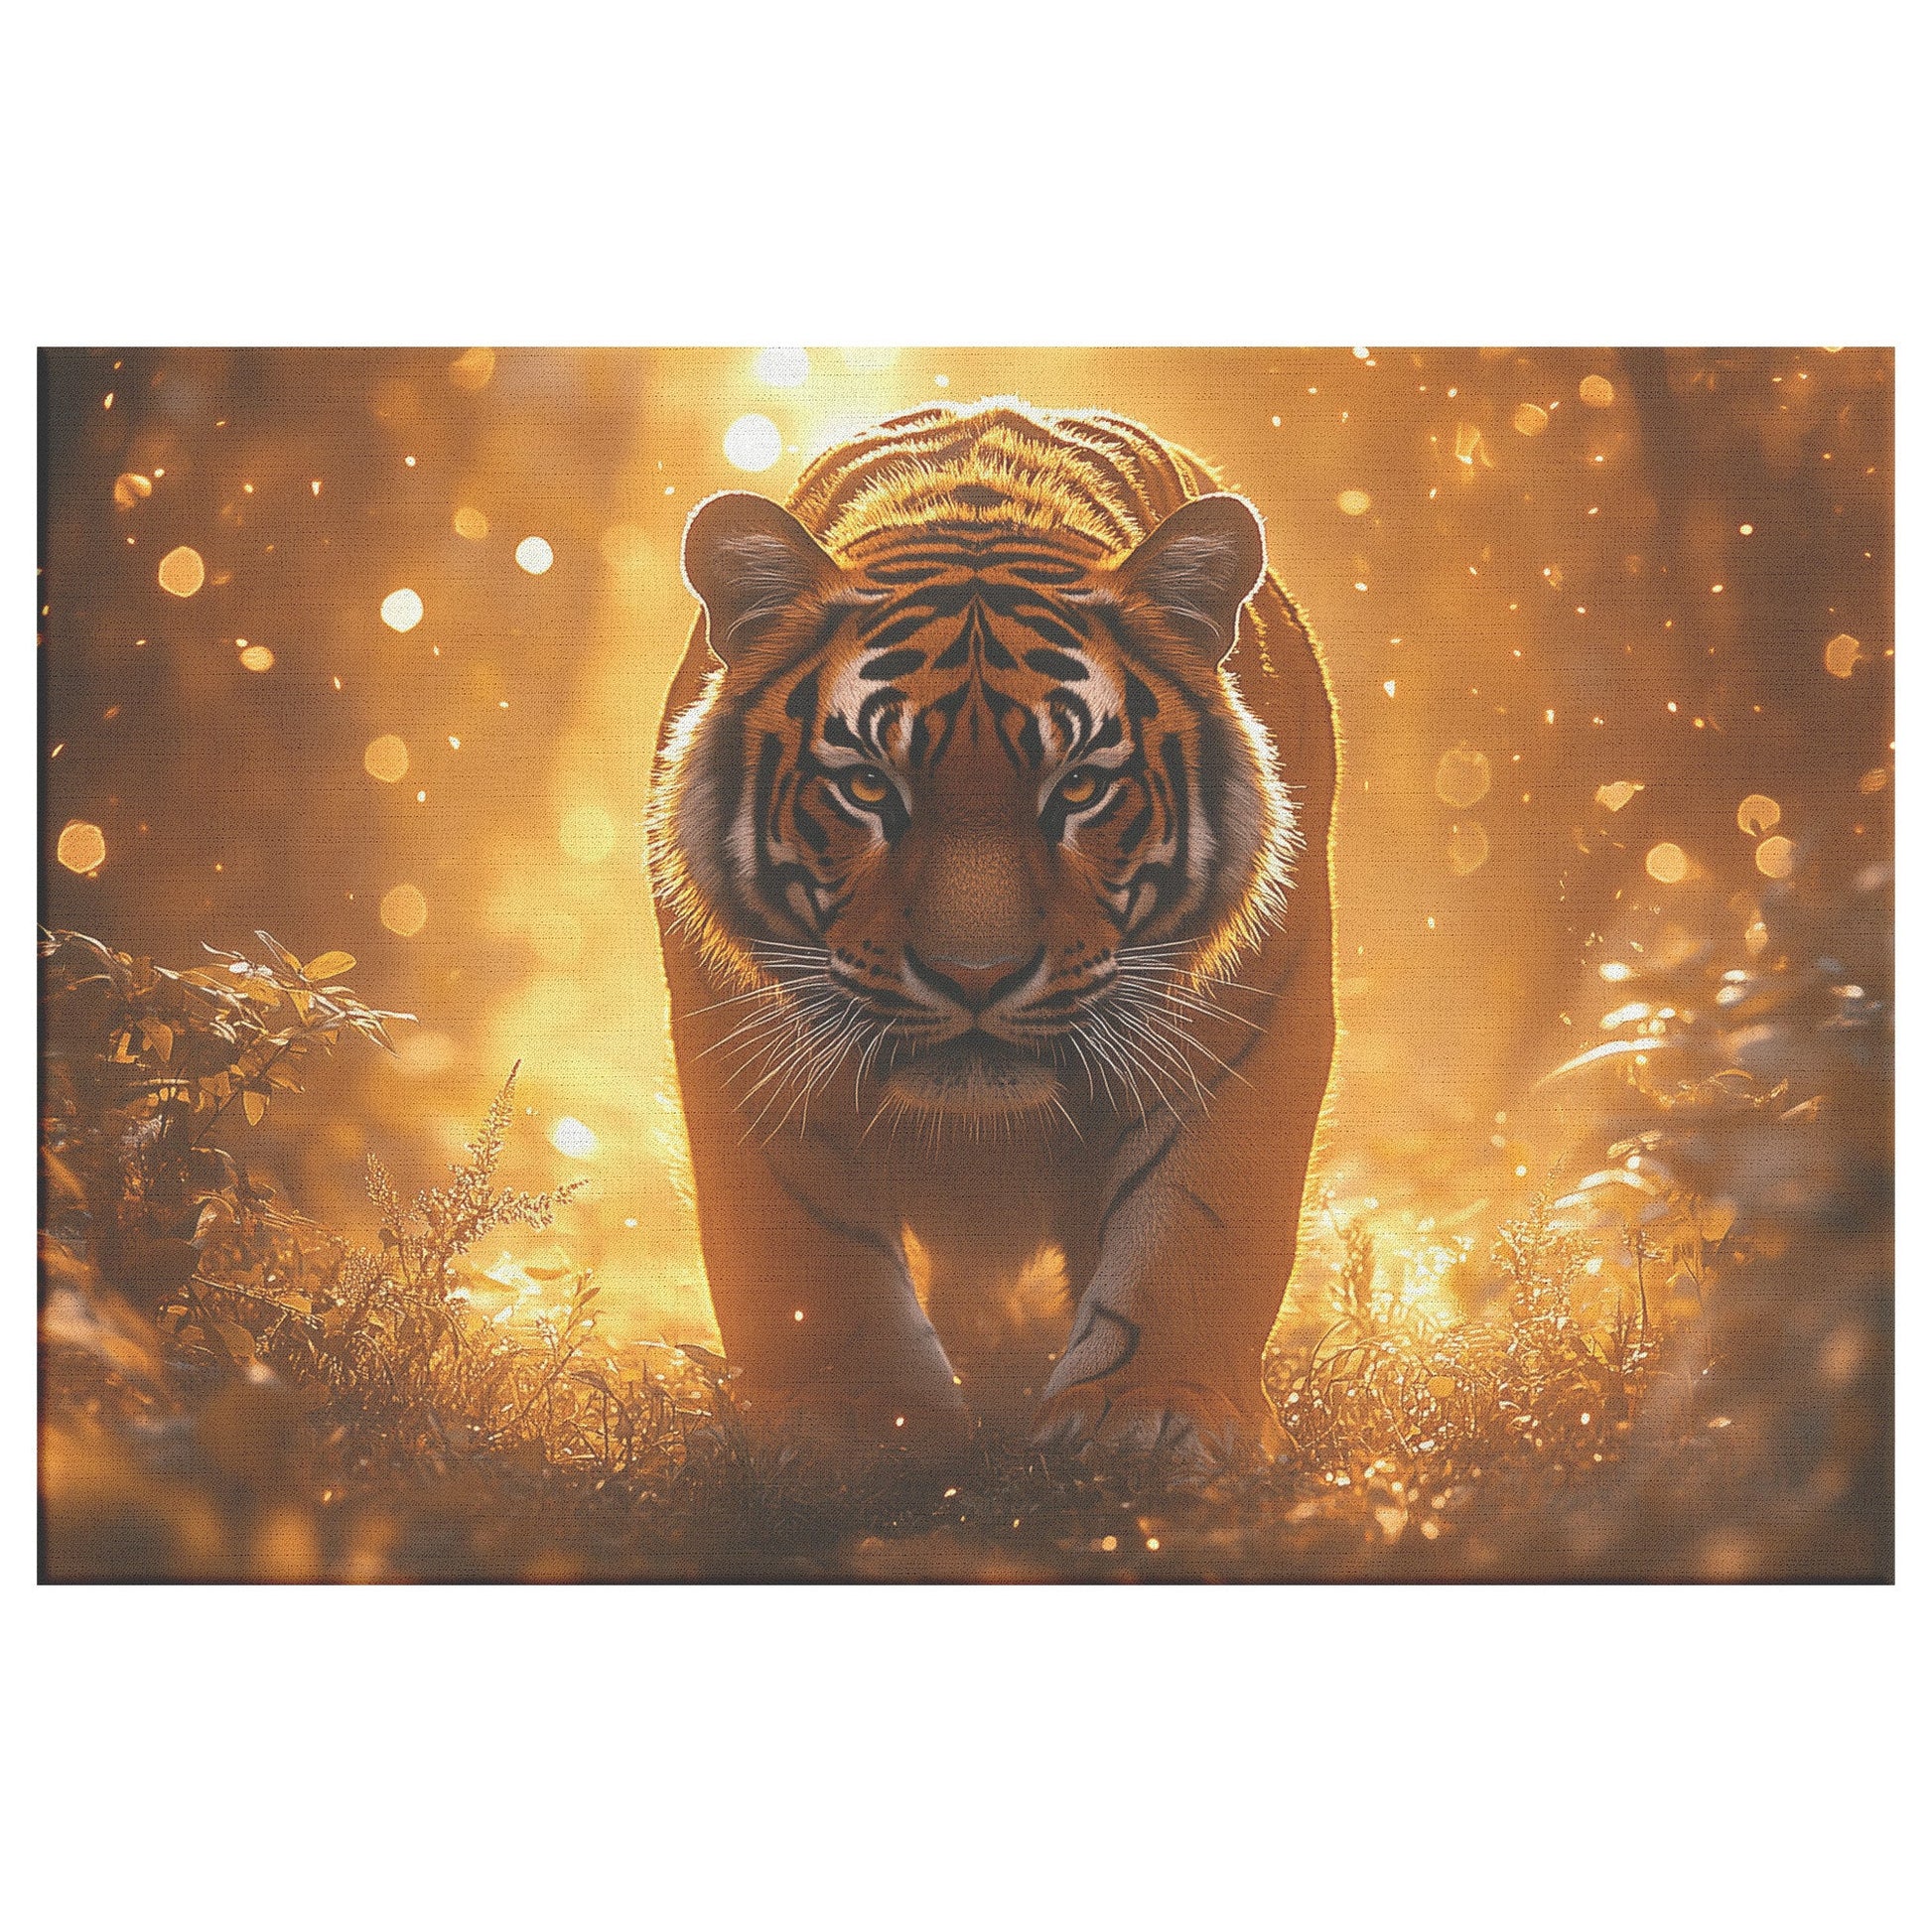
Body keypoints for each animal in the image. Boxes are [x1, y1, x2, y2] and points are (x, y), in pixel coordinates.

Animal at [648, 397, 1337, 1469]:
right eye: (867, 786)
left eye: (1080, 787)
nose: (976, 976)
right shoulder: (743, 1032)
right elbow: (804, 1240)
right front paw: (855, 1417)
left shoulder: (1251, 1013)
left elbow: (1198, 1218)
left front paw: (1155, 1409)